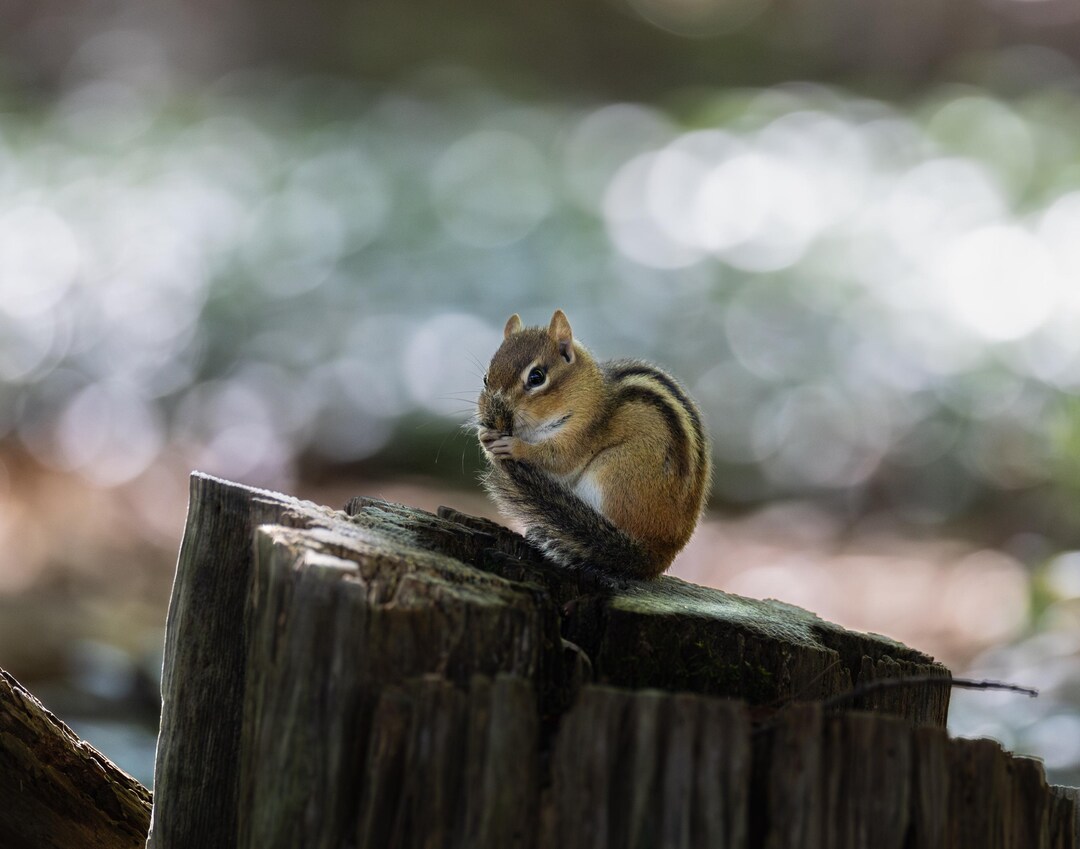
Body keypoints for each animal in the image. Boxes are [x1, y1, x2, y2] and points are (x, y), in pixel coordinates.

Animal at [476, 309, 711, 580]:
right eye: (486, 378)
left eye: (537, 377)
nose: (491, 418)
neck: (584, 394)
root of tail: (661, 555)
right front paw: (484, 435)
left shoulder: (584, 432)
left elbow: (560, 460)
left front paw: (513, 446)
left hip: (614, 470)